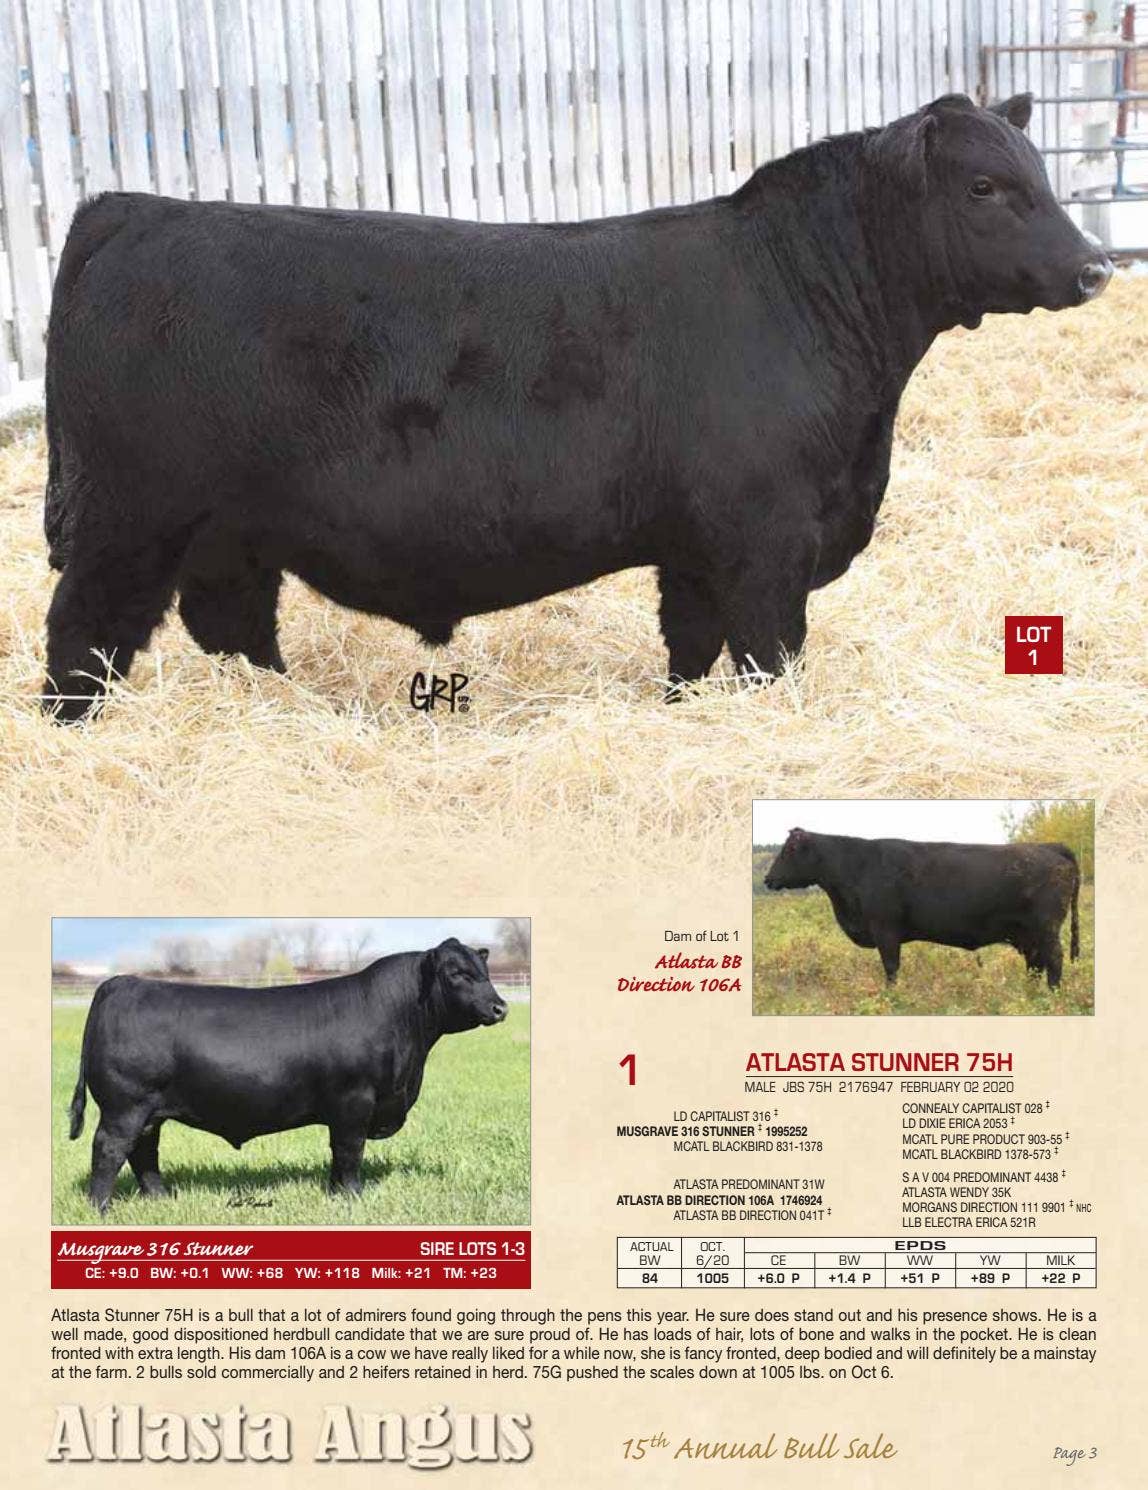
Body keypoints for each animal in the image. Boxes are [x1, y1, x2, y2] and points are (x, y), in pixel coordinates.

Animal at [41, 91, 1111, 720]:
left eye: (1040, 174)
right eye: (986, 185)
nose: (1098, 266)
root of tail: (132, 209)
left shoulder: (697, 550)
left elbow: (690, 650)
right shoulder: (766, 542)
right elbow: (769, 655)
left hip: (231, 533)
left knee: (233, 626)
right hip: (128, 520)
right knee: (82, 639)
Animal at [66, 938, 507, 1212]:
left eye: (484, 970)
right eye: (456, 973)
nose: (500, 1007)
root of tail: (121, 983)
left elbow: (338, 1154)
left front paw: (334, 1194)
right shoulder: (355, 1101)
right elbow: (350, 1151)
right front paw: (353, 1197)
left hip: (149, 1112)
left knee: (143, 1152)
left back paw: (161, 1198)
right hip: (126, 1106)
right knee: (109, 1149)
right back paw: (100, 1208)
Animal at [762, 828, 1081, 988]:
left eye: (789, 850)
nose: (767, 879)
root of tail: (1050, 846)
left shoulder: (885, 930)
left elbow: (891, 968)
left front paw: (891, 997)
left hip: (1046, 927)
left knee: (1054, 959)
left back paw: (1051, 995)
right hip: (1027, 934)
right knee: (1035, 963)